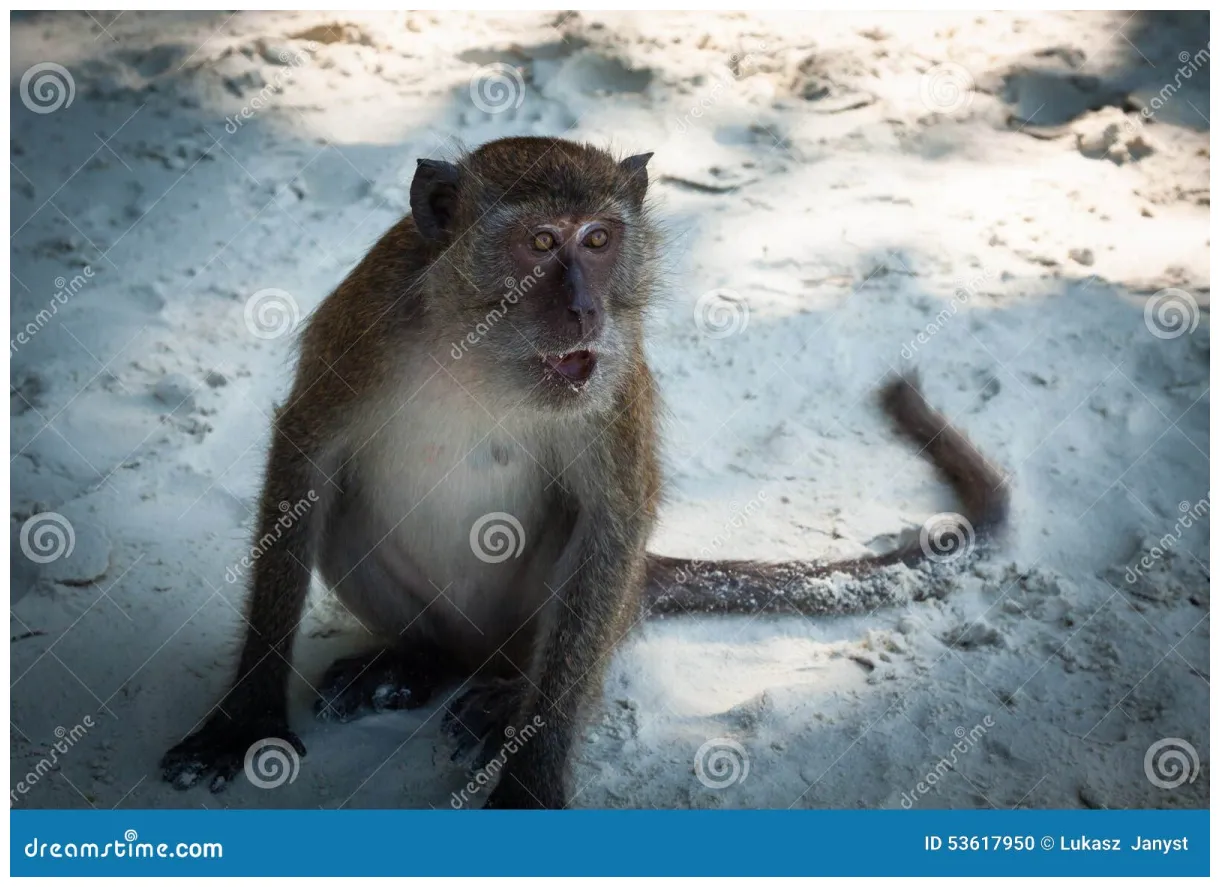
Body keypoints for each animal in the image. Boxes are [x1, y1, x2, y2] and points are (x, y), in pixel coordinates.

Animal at [159, 136, 1009, 809]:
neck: (482, 349)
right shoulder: (366, 322)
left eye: (598, 239)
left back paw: (504, 699)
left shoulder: (613, 378)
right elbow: (307, 456)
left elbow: (610, 516)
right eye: (540, 243)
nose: (582, 310)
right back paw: (419, 659)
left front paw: (530, 777)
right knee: (346, 517)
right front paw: (246, 720)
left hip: (570, 617)